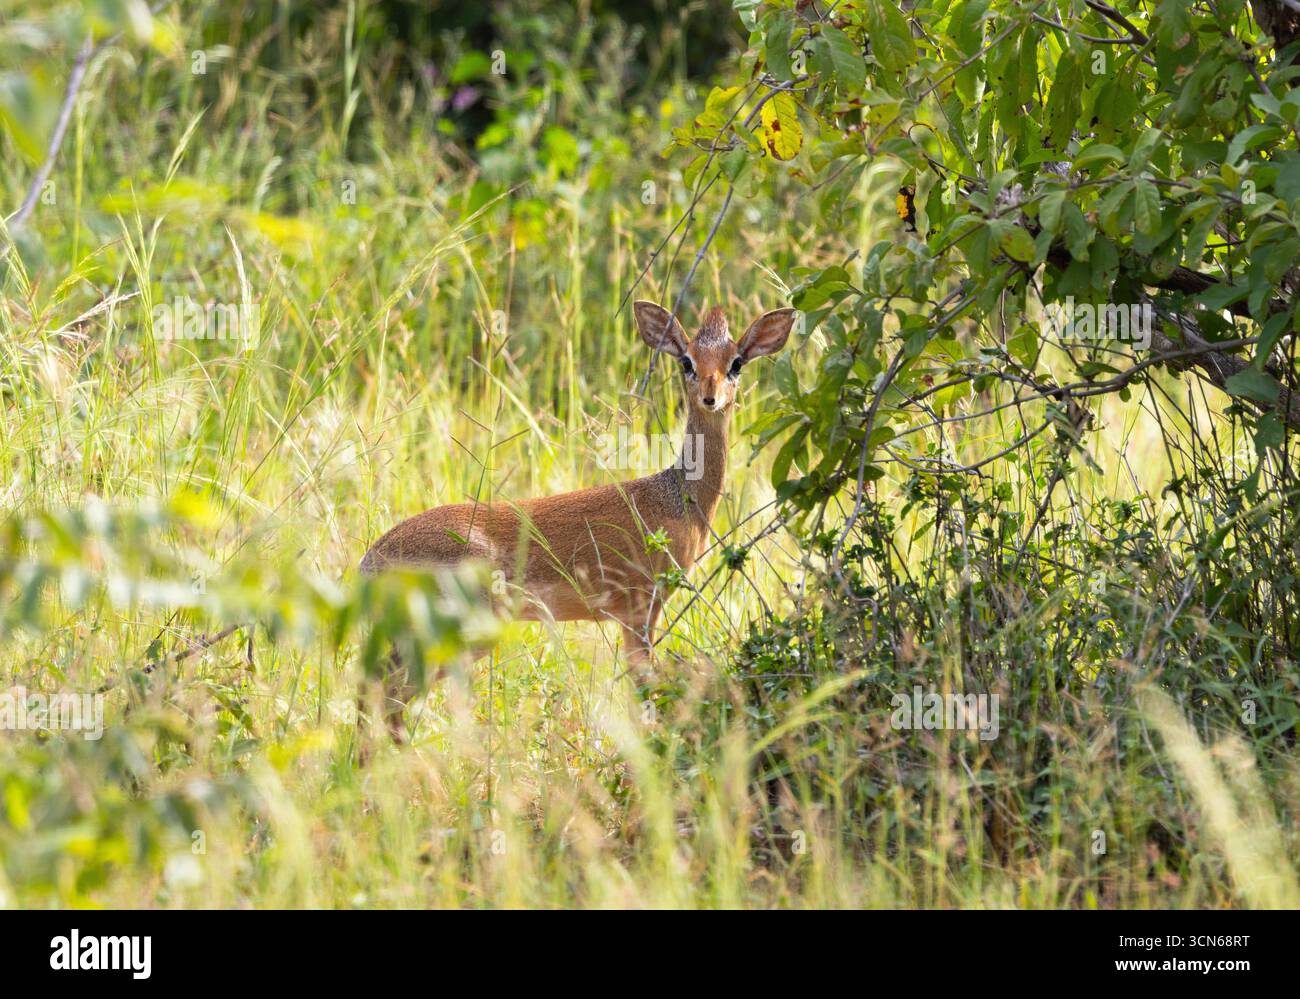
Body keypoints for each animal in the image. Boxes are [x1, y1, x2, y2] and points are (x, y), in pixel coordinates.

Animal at [359, 301, 796, 722]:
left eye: (736, 361)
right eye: (687, 361)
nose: (710, 395)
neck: (678, 497)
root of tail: (370, 561)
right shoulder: (640, 609)